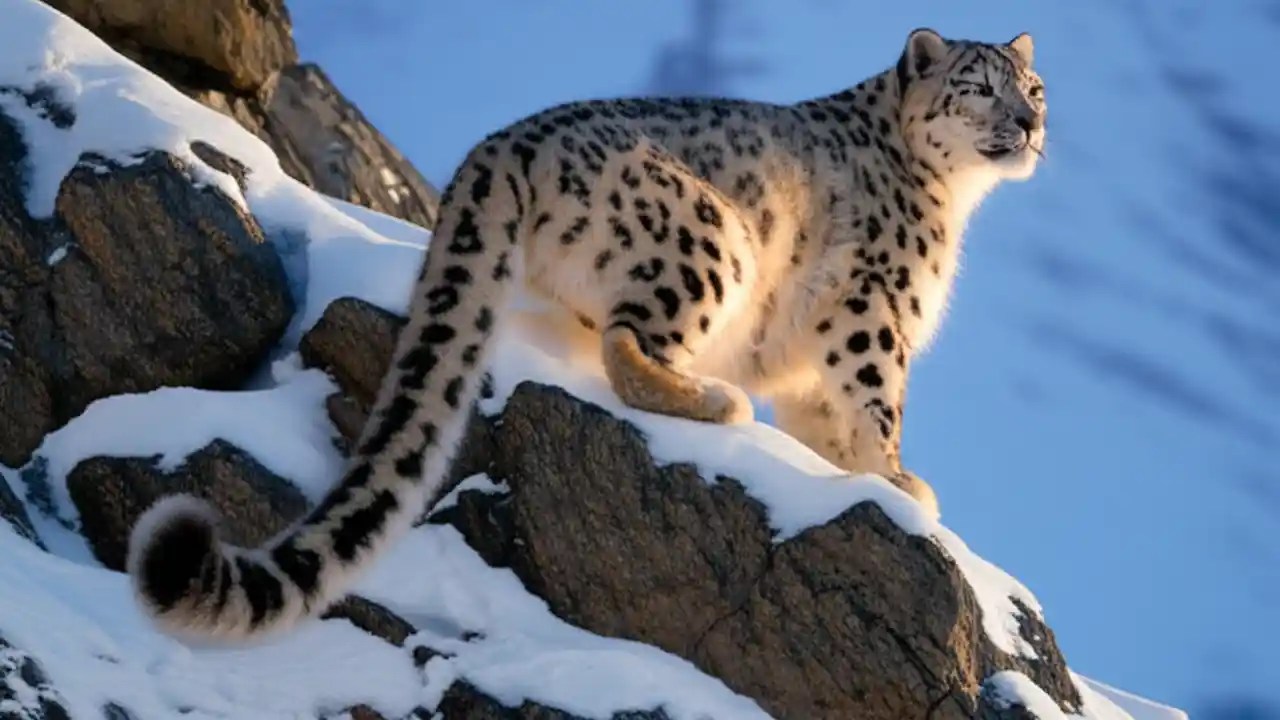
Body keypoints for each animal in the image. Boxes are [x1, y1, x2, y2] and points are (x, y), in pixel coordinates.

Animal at [126, 28, 1047, 640]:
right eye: (977, 87)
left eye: (1033, 88)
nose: (1031, 125)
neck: (952, 201)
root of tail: (501, 145)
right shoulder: (872, 309)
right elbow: (876, 398)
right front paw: (899, 480)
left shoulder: (809, 365)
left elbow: (829, 423)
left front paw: (854, 471)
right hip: (713, 237)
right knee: (631, 346)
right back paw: (716, 401)